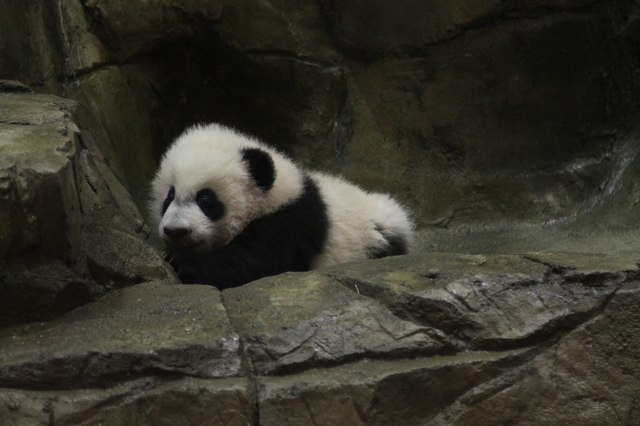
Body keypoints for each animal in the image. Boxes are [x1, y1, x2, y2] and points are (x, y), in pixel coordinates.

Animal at [149, 123, 413, 290]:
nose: (176, 231)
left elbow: (257, 263)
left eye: (206, 200)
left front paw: (181, 260)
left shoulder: (292, 220)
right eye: (170, 196)